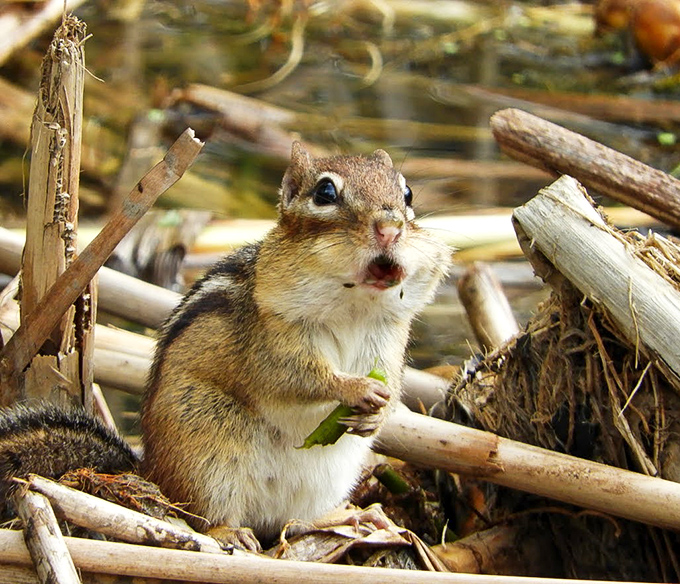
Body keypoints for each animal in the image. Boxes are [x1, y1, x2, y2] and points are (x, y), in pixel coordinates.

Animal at [0, 142, 451, 549]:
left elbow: (394, 386)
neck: (354, 309)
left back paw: (353, 518)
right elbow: (293, 376)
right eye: (325, 193)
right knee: (202, 515)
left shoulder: (388, 345)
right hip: (211, 450)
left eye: (407, 193)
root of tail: (148, 471)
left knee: (294, 523)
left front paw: (380, 411)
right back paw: (229, 531)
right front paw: (355, 387)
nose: (390, 227)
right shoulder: (270, 340)